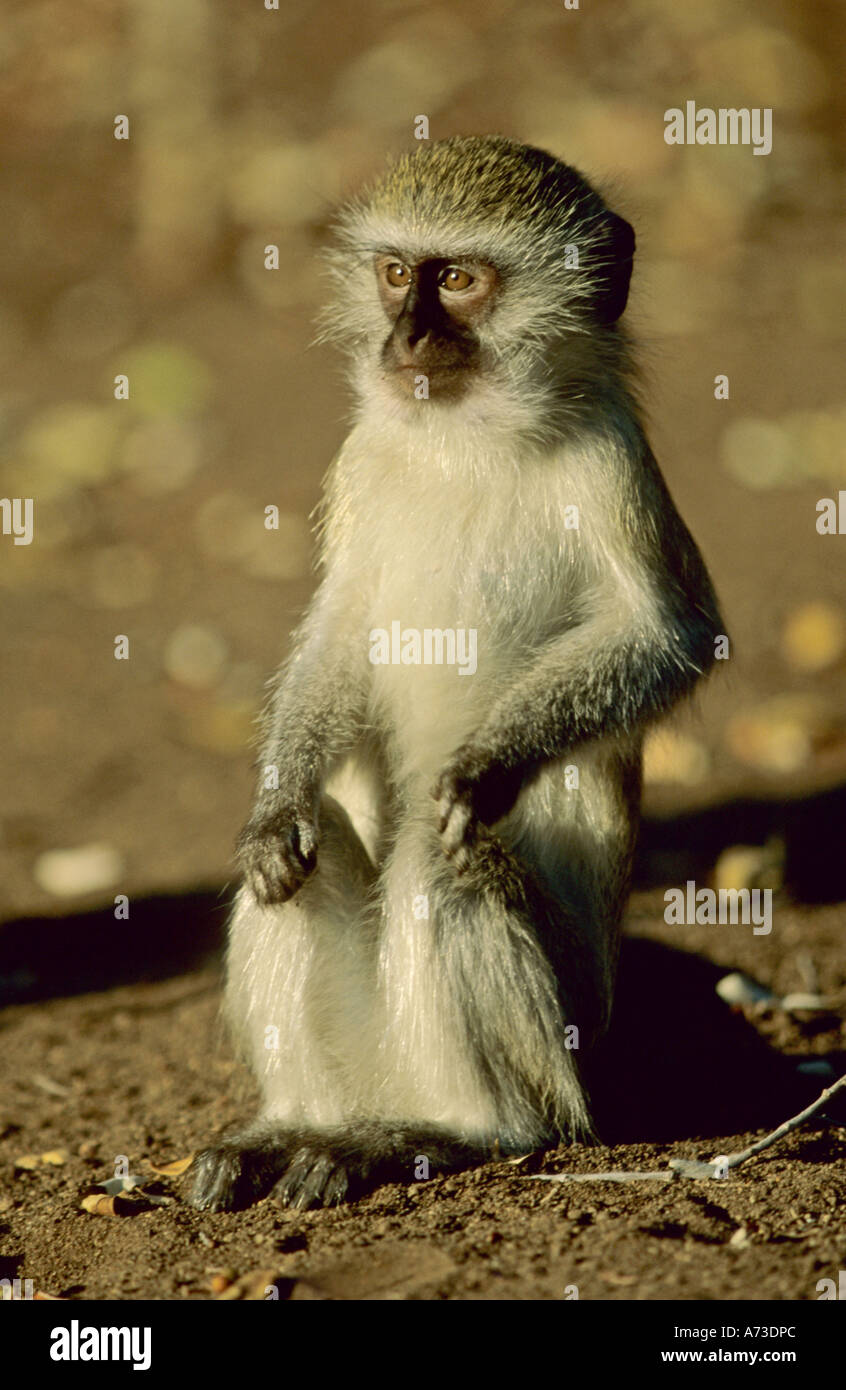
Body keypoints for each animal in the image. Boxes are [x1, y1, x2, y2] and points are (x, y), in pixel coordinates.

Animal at [189, 135, 723, 1213]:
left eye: (463, 282)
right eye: (399, 274)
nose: (406, 338)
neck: (465, 437)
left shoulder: (613, 460)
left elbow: (672, 635)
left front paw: (484, 768)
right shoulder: (362, 456)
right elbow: (342, 631)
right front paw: (276, 801)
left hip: (564, 1038)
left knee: (448, 867)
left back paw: (459, 1134)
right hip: (370, 1040)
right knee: (293, 866)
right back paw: (293, 1127)